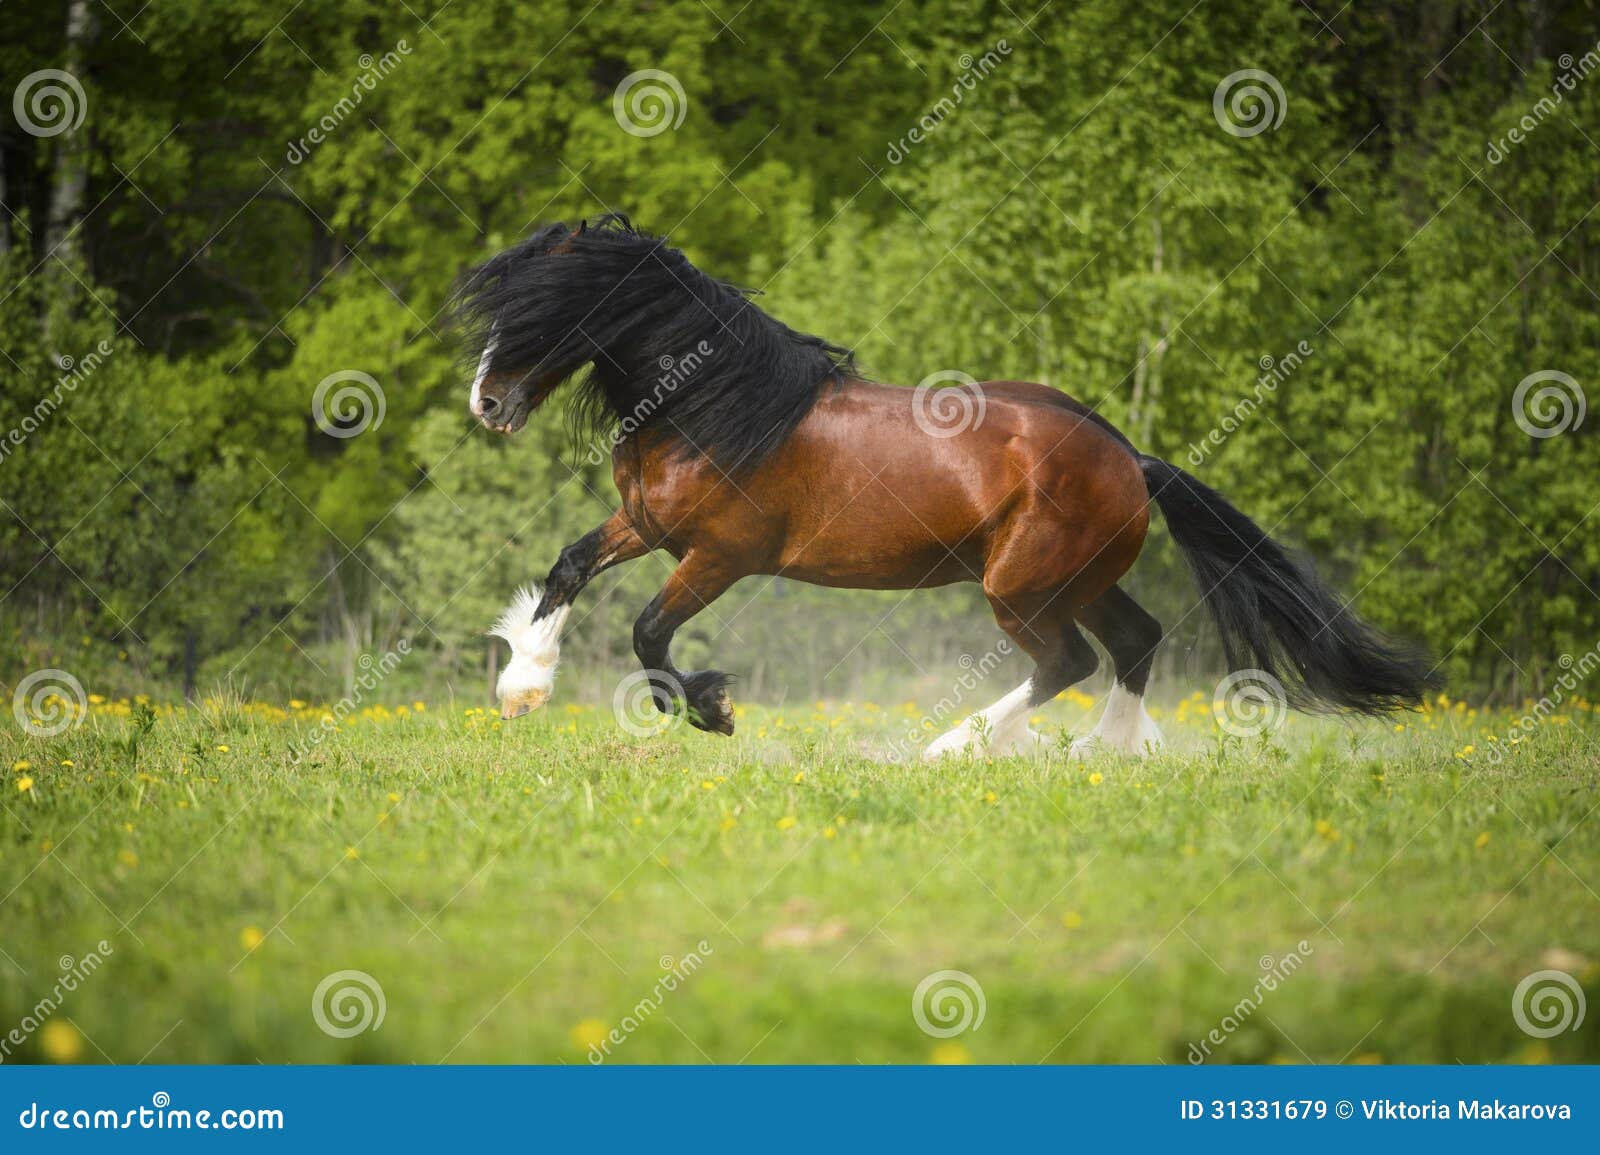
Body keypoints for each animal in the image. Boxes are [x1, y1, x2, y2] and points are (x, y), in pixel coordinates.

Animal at [458, 215, 1436, 758]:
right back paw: (1108, 751)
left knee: (1068, 659)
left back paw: (954, 747)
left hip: (1020, 584)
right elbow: (568, 567)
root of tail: (1132, 459)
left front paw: (713, 711)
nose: (487, 403)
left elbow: (648, 631)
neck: (717, 401)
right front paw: (522, 688)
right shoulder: (644, 521)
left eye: (543, 309)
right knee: (1135, 640)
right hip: (1076, 578)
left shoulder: (720, 554)